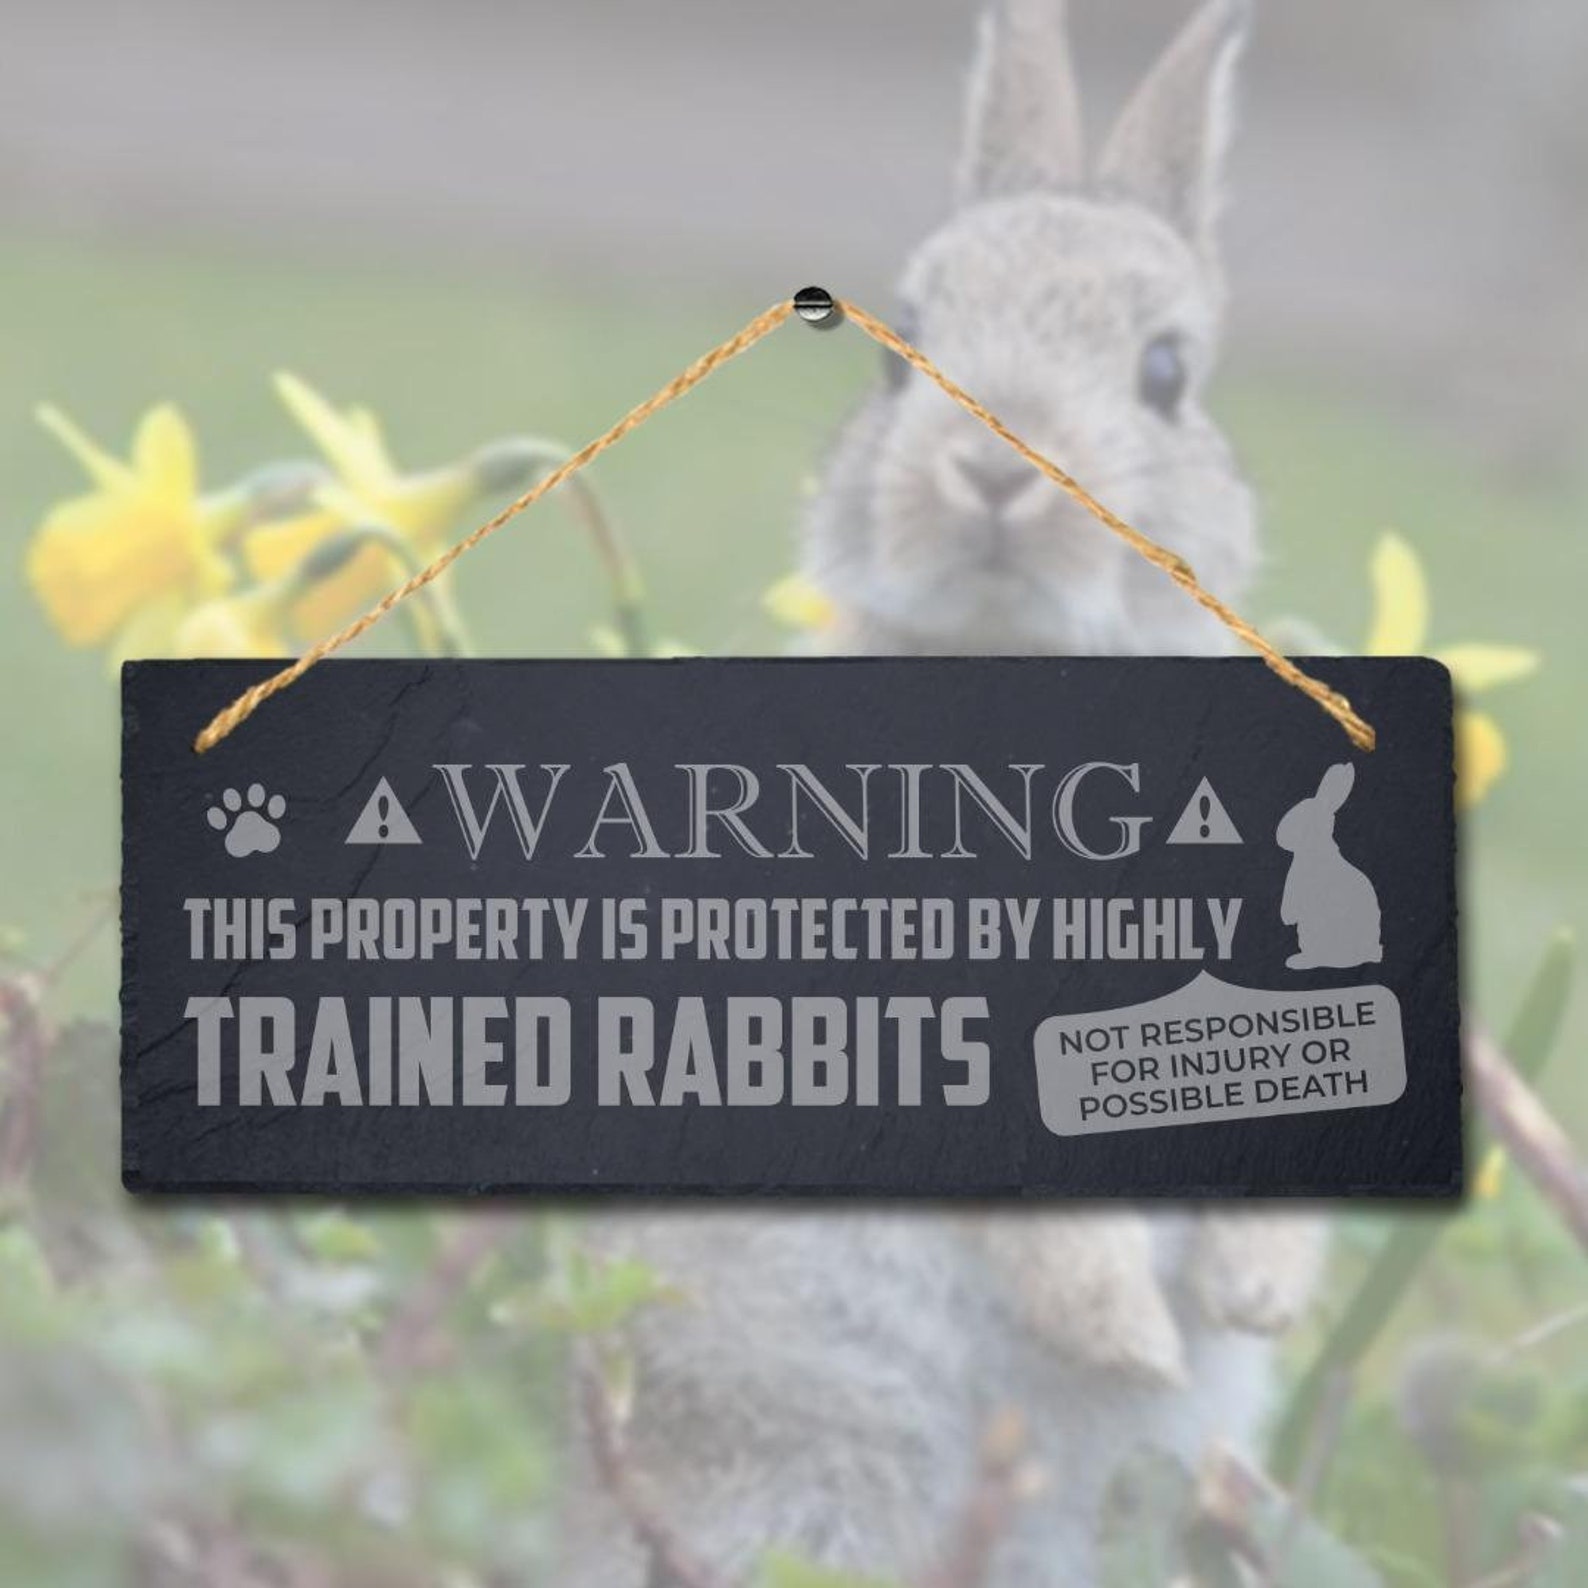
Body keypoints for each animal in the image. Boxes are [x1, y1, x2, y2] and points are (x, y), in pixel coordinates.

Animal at [1277, 762, 1384, 969]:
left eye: (1301, 816)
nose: (1279, 835)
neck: (1315, 846)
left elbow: (1290, 912)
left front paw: (1285, 917)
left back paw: (1297, 961)